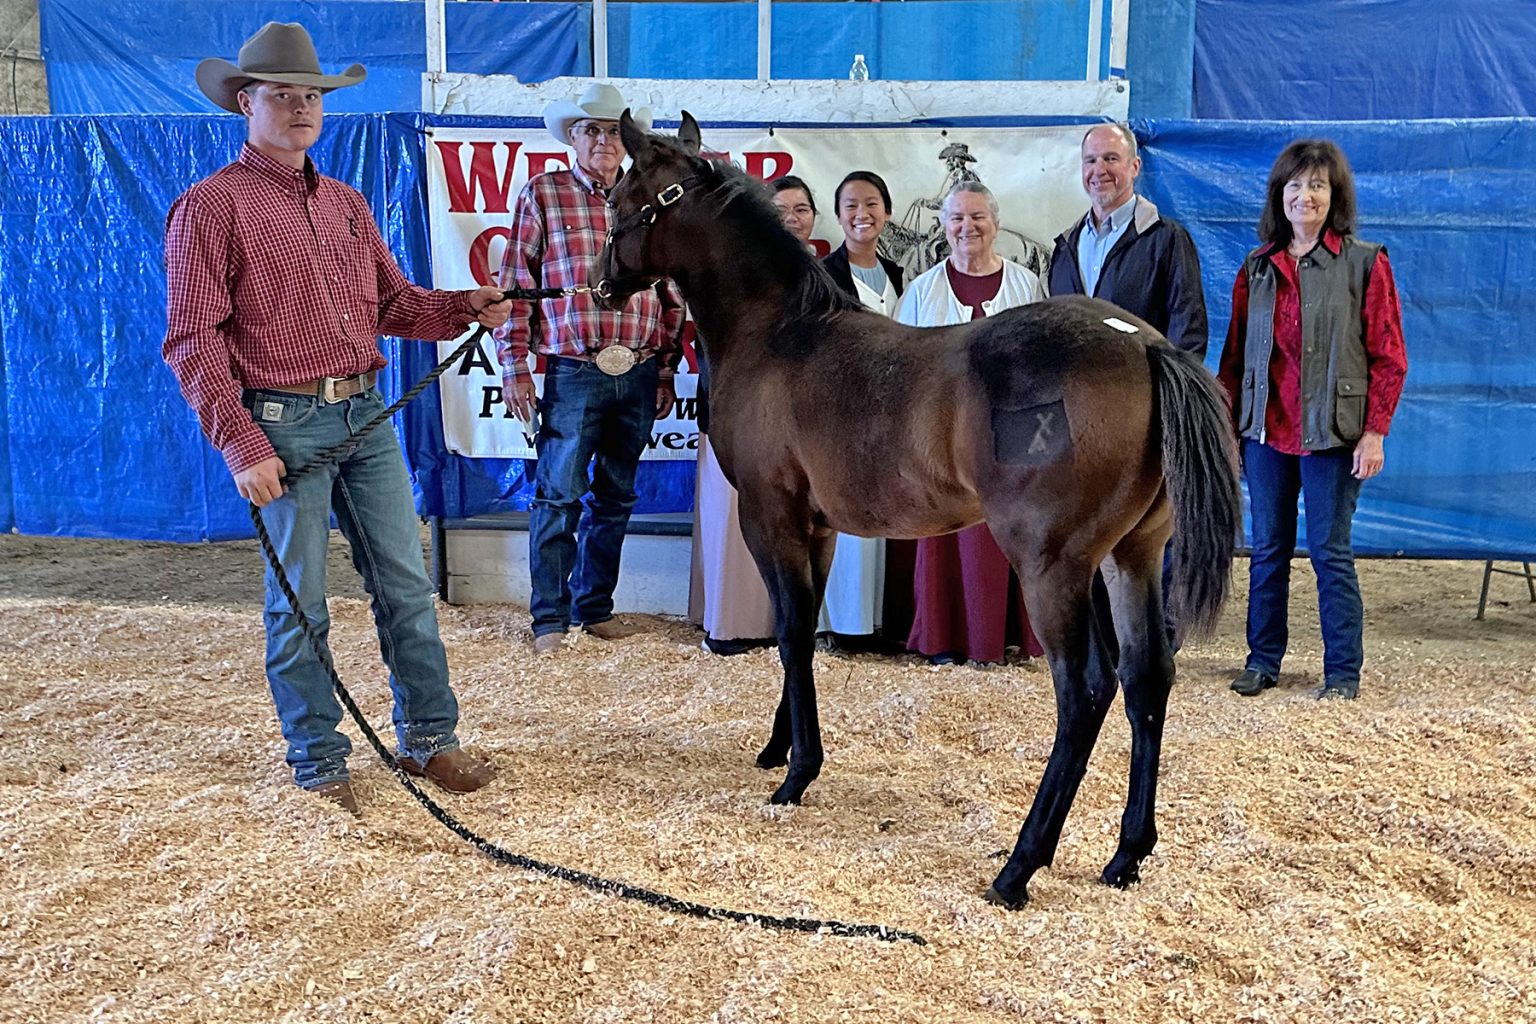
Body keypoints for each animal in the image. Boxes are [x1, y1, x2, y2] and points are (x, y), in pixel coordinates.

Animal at [596, 112, 1241, 908]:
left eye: (622, 196)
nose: (602, 283)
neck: (780, 334)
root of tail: (1146, 345)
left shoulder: (771, 518)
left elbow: (788, 632)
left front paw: (796, 775)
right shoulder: (818, 527)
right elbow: (802, 634)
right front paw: (781, 747)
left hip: (1054, 564)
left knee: (1086, 691)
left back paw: (1019, 867)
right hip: (1132, 556)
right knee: (1148, 678)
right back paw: (1126, 855)